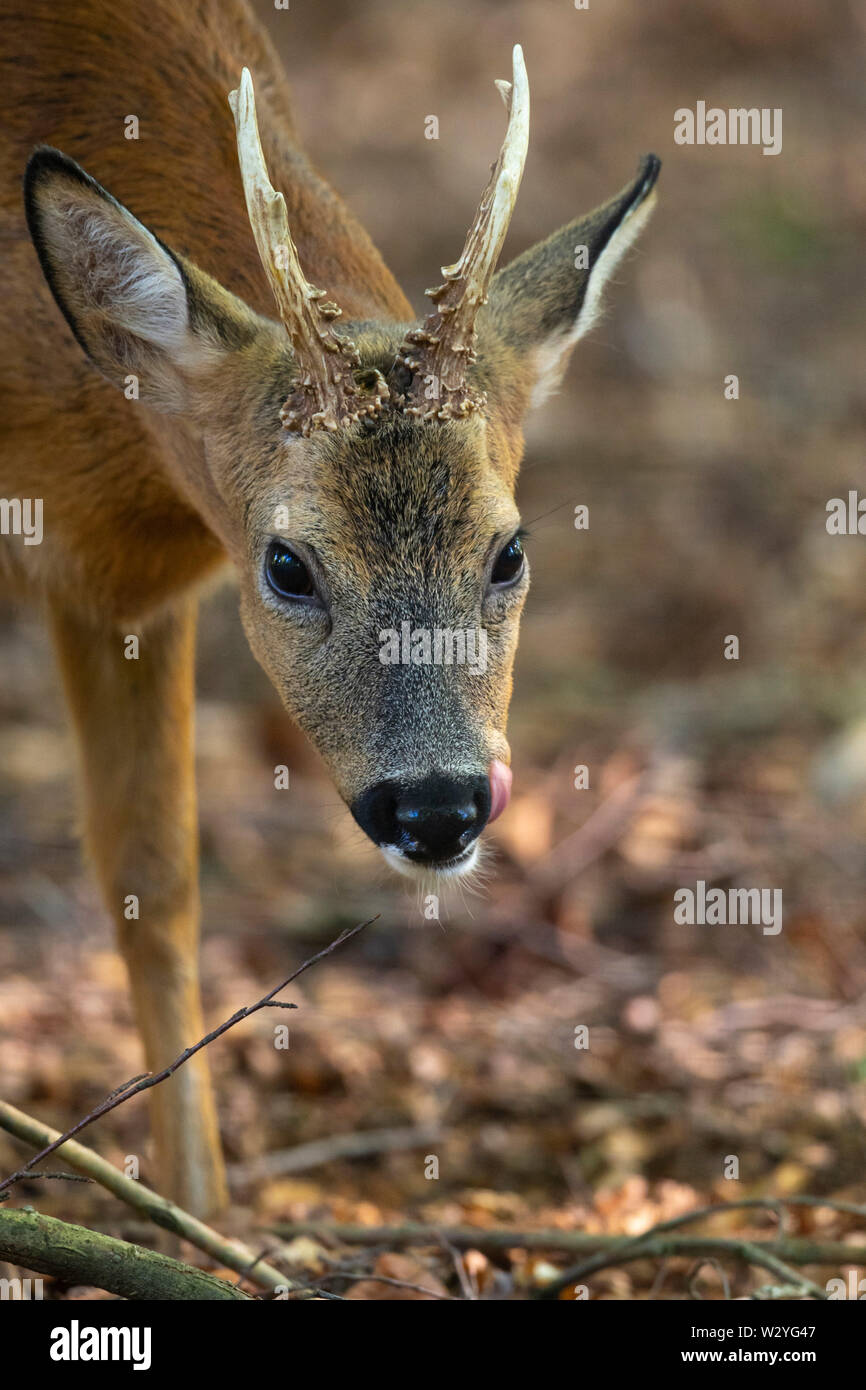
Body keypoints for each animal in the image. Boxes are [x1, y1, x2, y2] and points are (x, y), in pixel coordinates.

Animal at [3, 0, 661, 1217]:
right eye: (287, 565)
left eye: (509, 550)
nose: (438, 804)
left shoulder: (119, 590)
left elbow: (155, 878)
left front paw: (200, 1218)